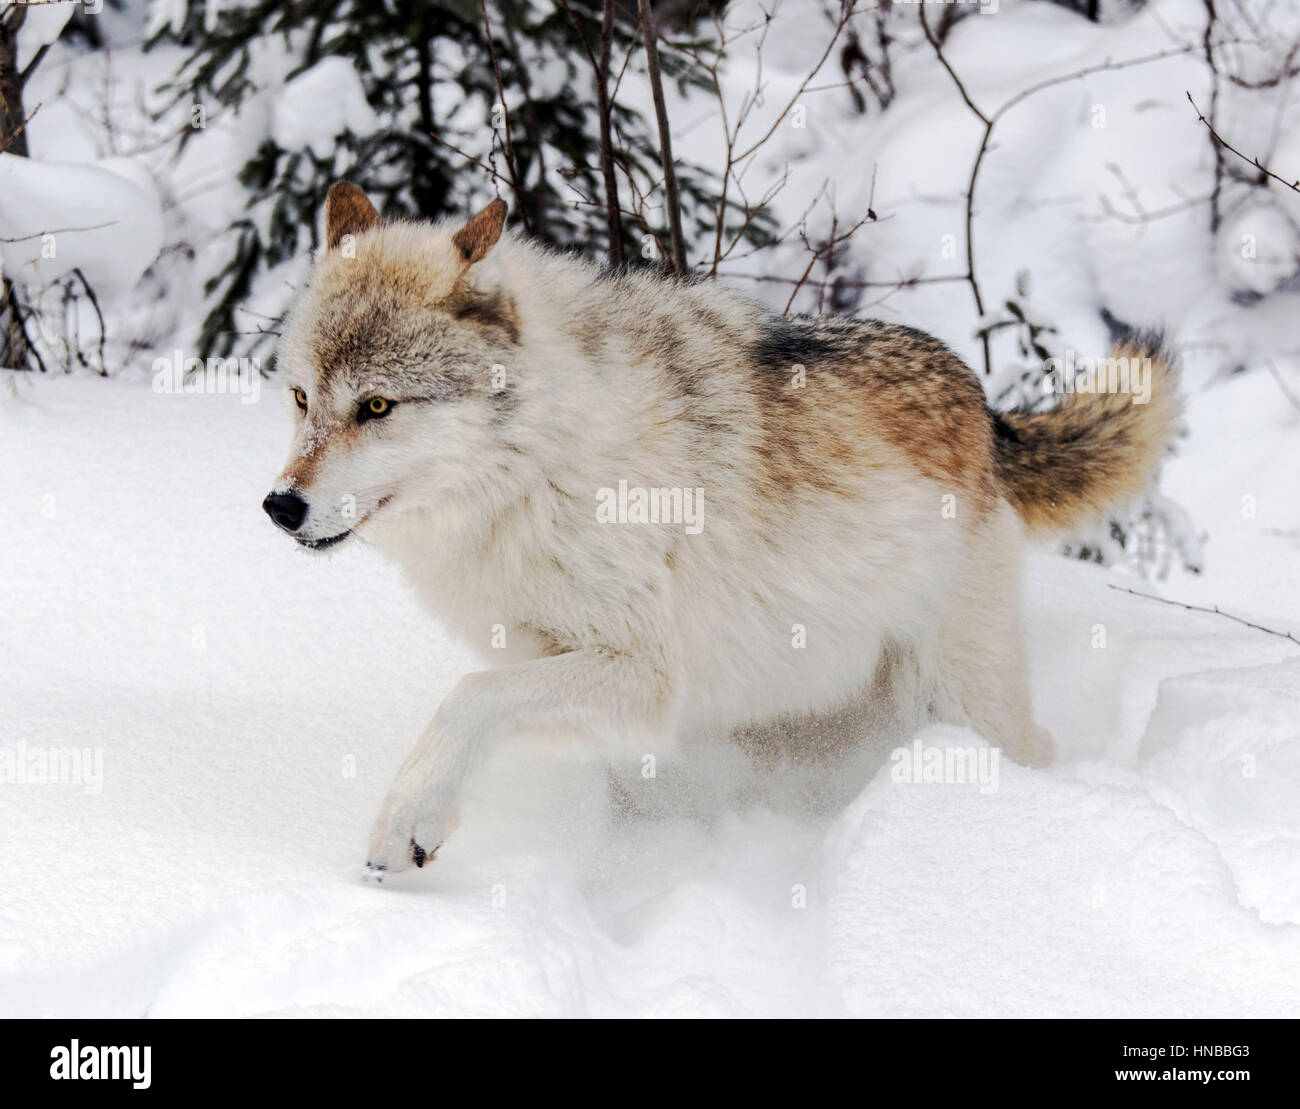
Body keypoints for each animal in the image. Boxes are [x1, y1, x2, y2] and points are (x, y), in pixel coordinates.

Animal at [264, 182, 1180, 875]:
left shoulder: (643, 671)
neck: (536, 466)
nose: (280, 506)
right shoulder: (564, 663)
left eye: (377, 406)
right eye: (302, 399)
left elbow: (466, 698)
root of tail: (983, 408)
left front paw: (407, 821)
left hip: (962, 694)